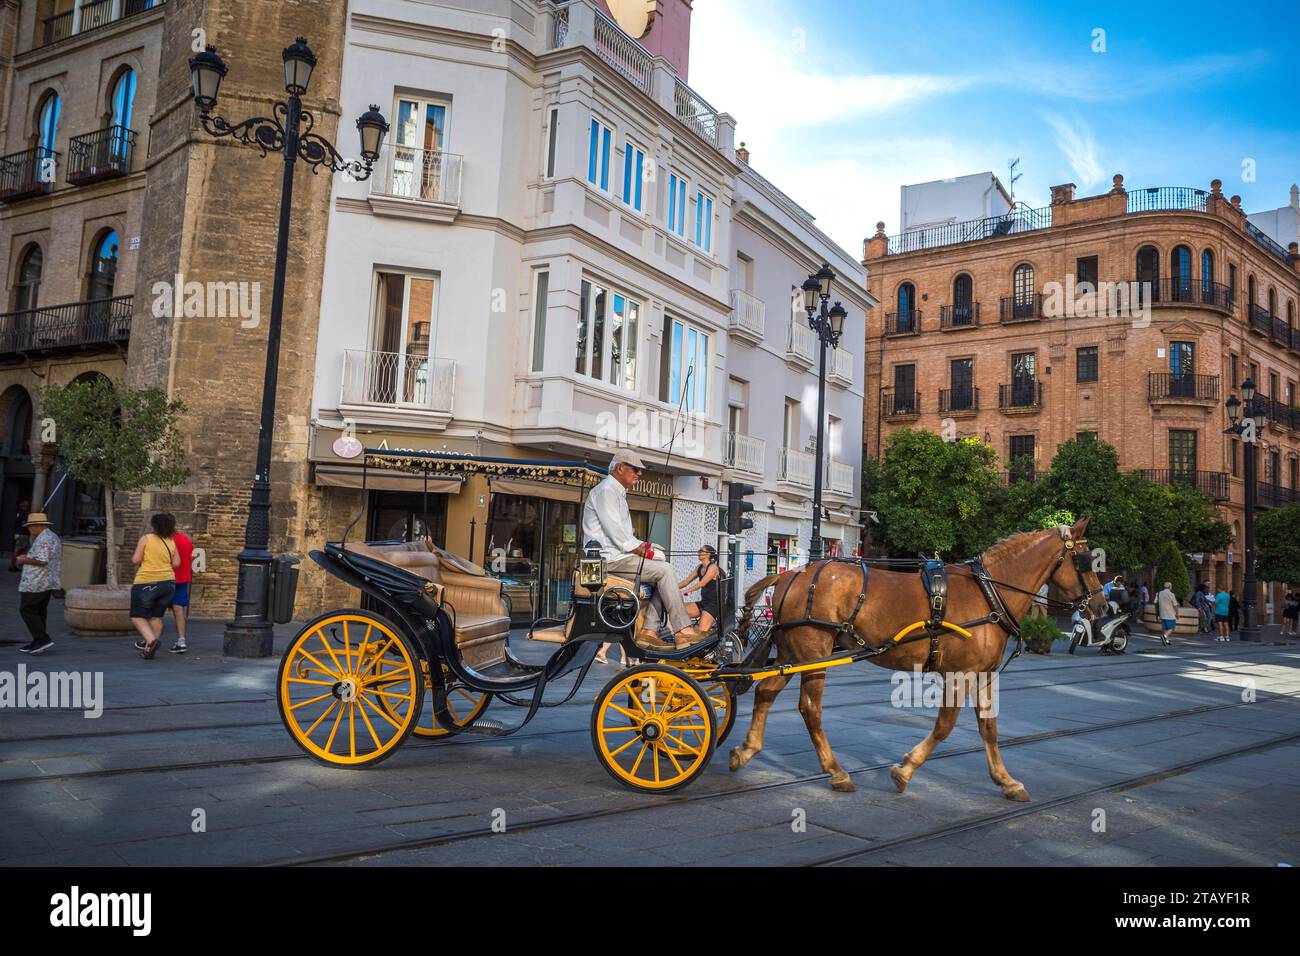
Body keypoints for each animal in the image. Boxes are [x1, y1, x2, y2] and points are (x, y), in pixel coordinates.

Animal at [729, 520, 1107, 801]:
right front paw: (906, 769)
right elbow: (945, 726)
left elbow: (989, 727)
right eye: (1087, 561)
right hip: (814, 655)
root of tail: (789, 574)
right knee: (810, 708)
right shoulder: (959, 674)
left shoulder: (983, 675)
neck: (989, 592)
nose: (1101, 605)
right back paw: (835, 771)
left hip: (794, 655)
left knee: (766, 692)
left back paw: (747, 750)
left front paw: (1006, 780)